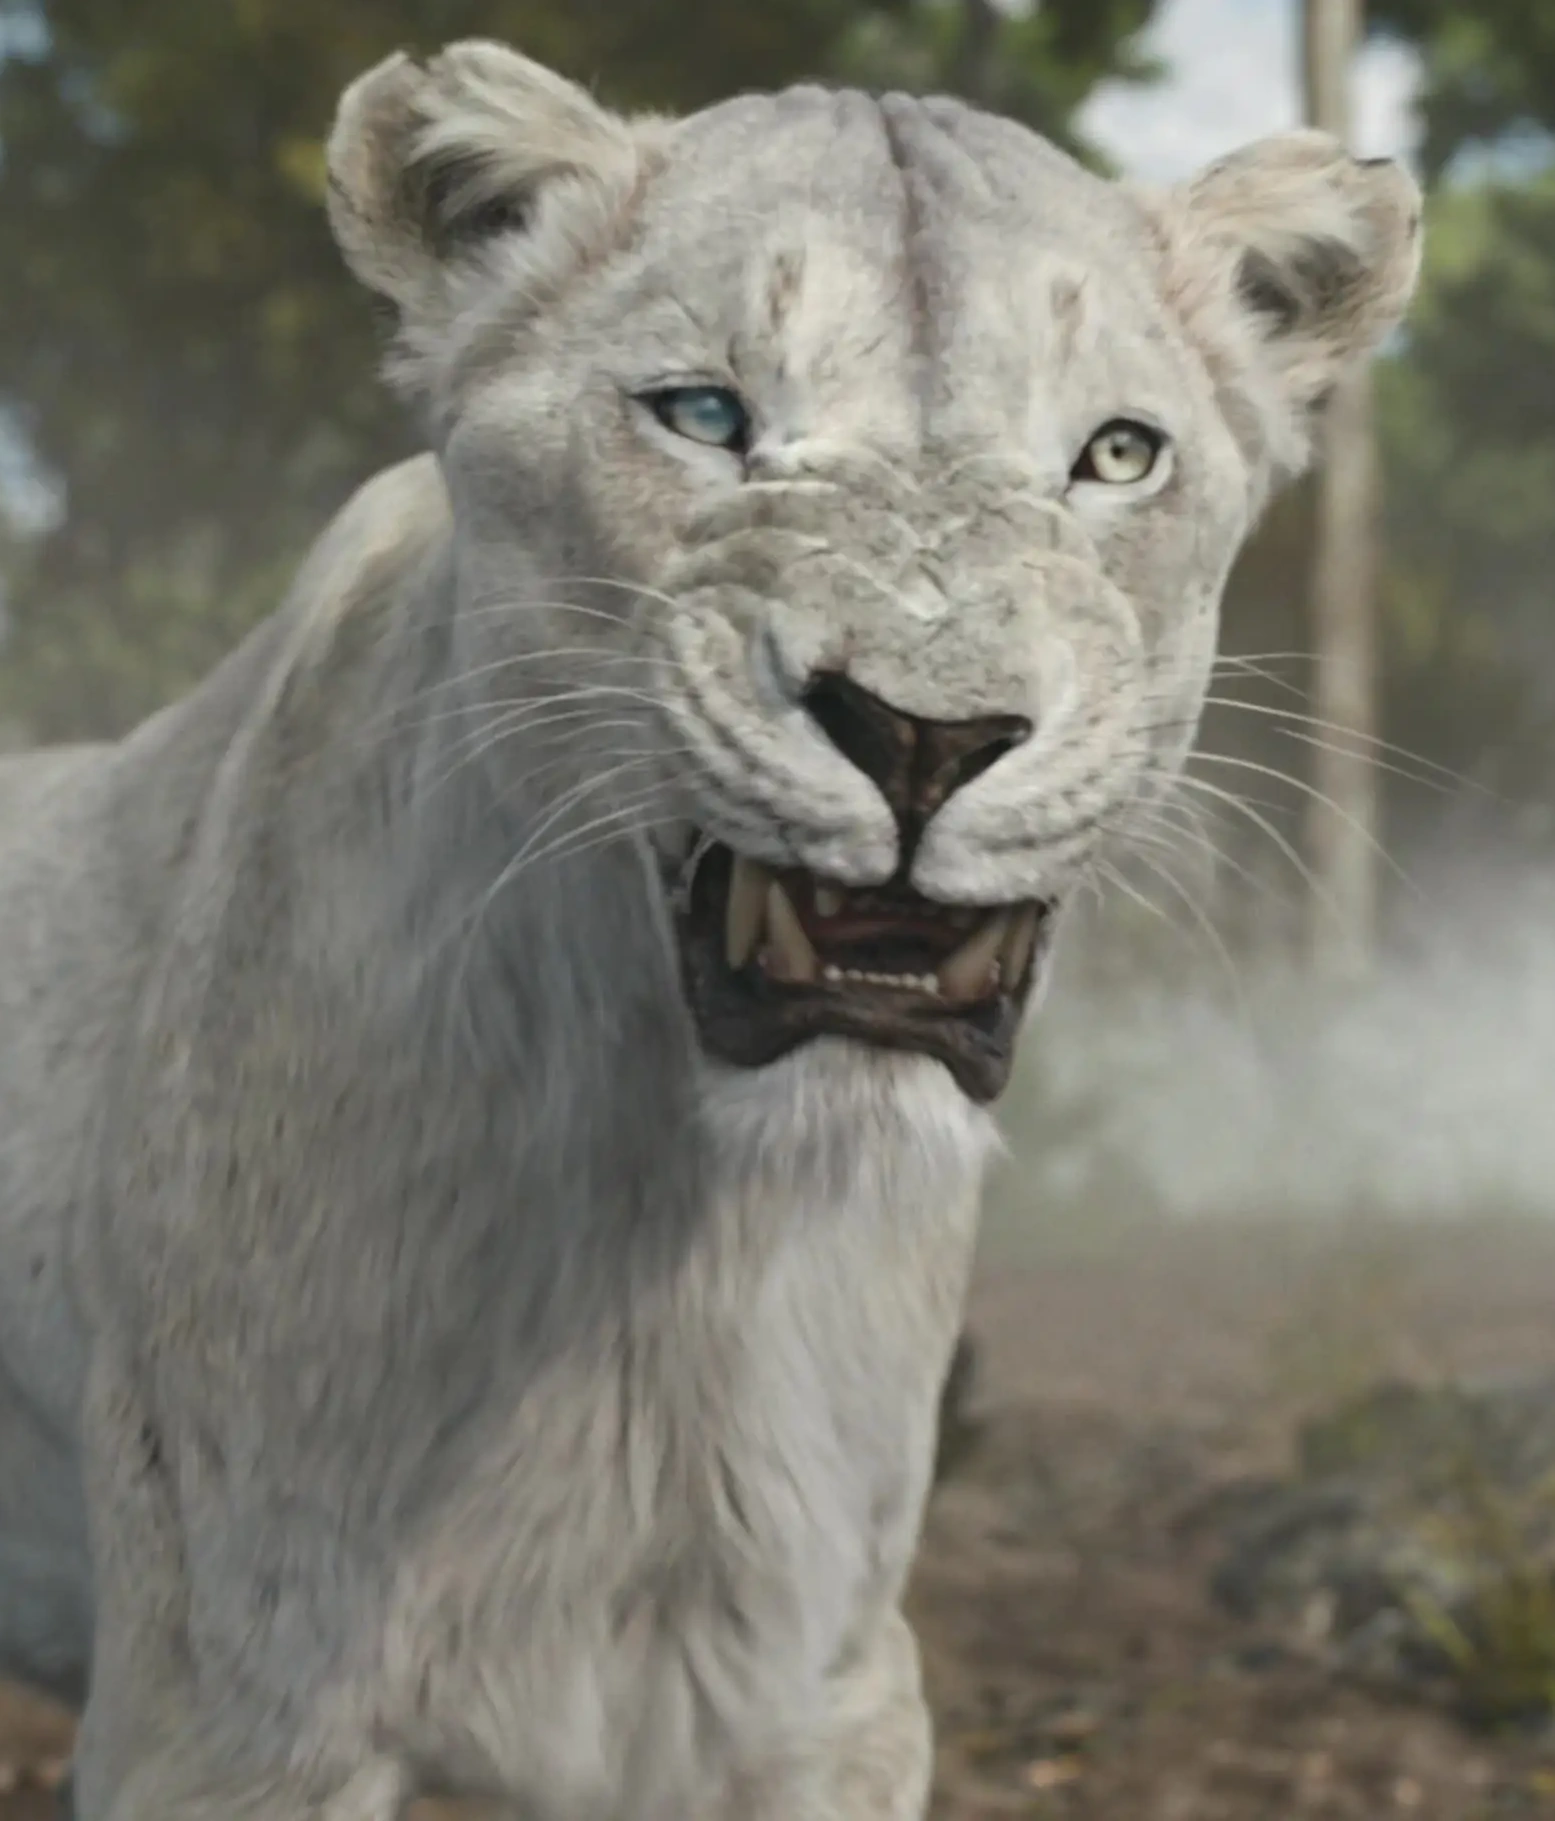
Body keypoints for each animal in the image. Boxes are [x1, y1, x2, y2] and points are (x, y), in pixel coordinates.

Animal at [0, 40, 1419, 1820]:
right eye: (701, 414)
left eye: (1112, 456)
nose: (925, 736)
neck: (668, 1255)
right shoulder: (231, 1716)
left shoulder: (825, 1696)